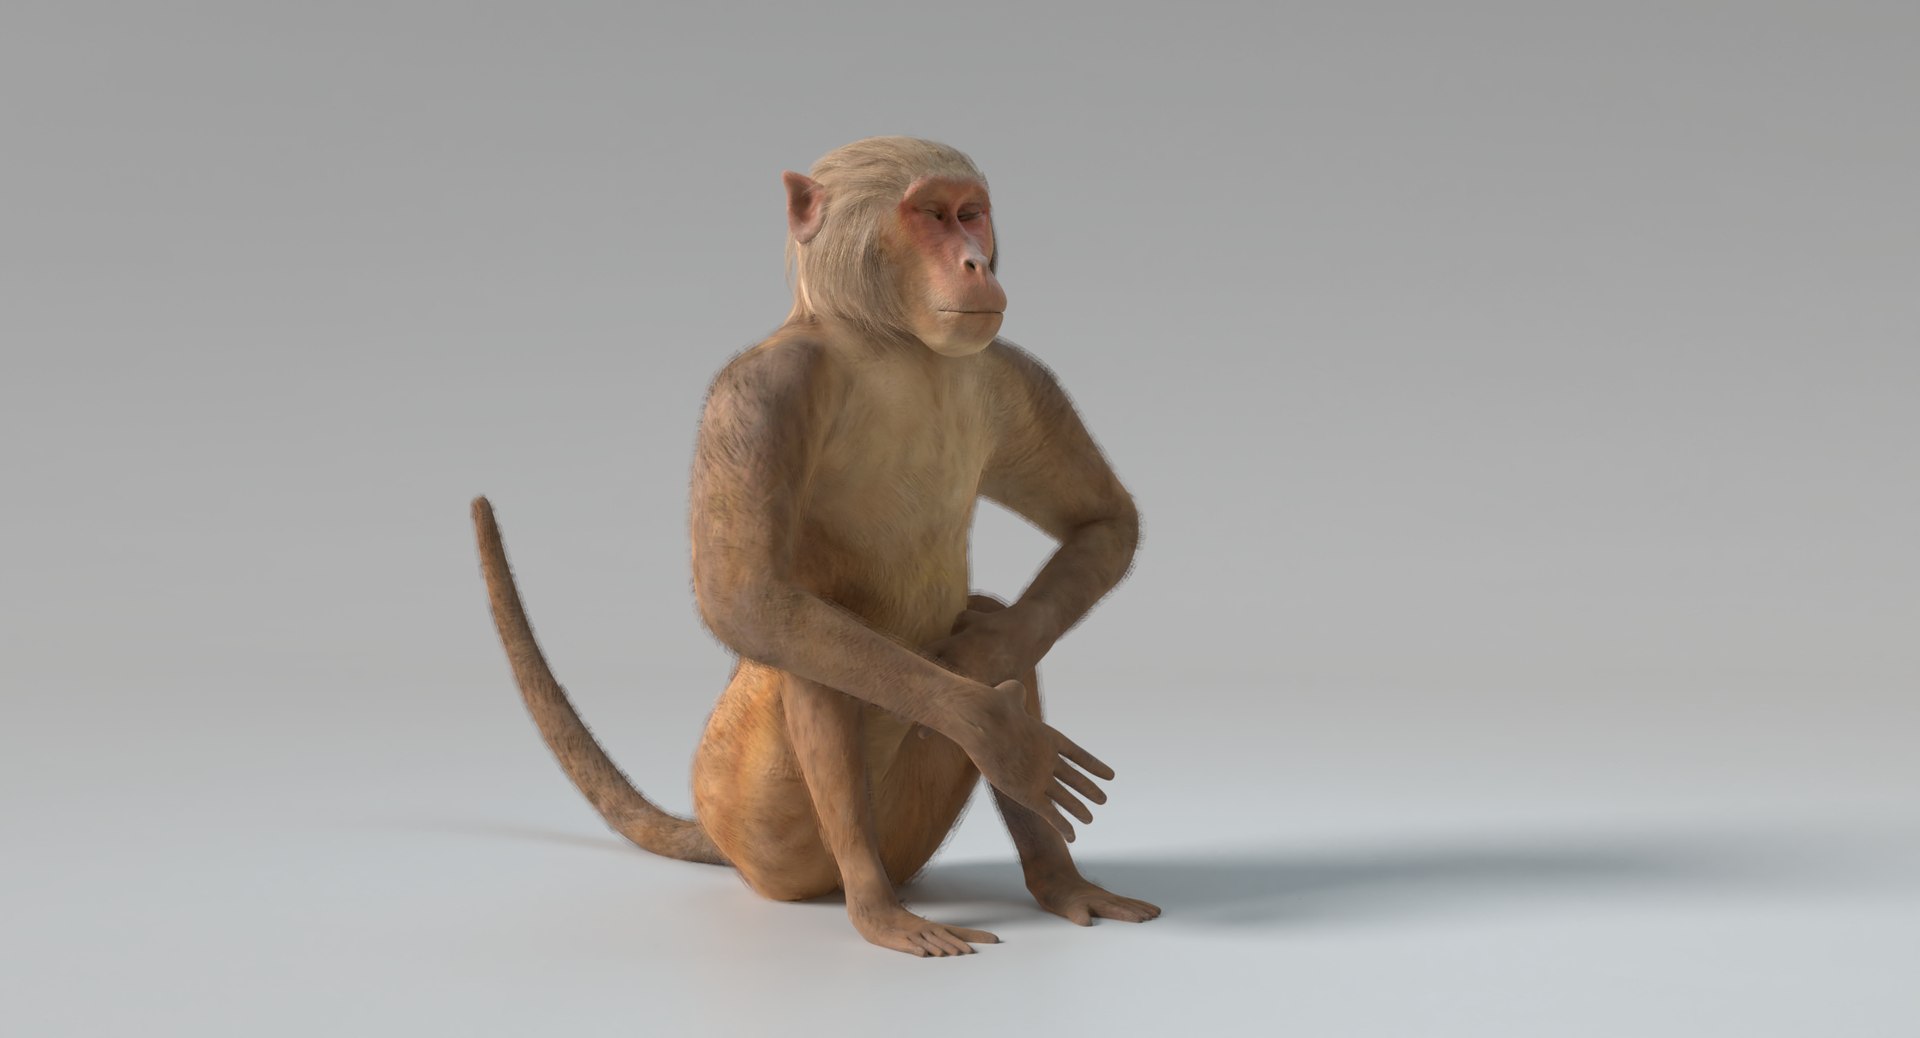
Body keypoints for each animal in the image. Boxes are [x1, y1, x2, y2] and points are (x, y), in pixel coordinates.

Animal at [473, 136, 1159, 957]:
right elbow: (744, 598)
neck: (894, 344)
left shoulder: (1014, 372)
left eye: (971, 214)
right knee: (811, 653)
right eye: (931, 216)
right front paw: (993, 727)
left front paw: (978, 665)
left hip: (906, 833)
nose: (975, 263)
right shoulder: (760, 391)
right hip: (750, 814)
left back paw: (1056, 879)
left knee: (999, 621)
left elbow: (1104, 524)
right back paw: (876, 905)